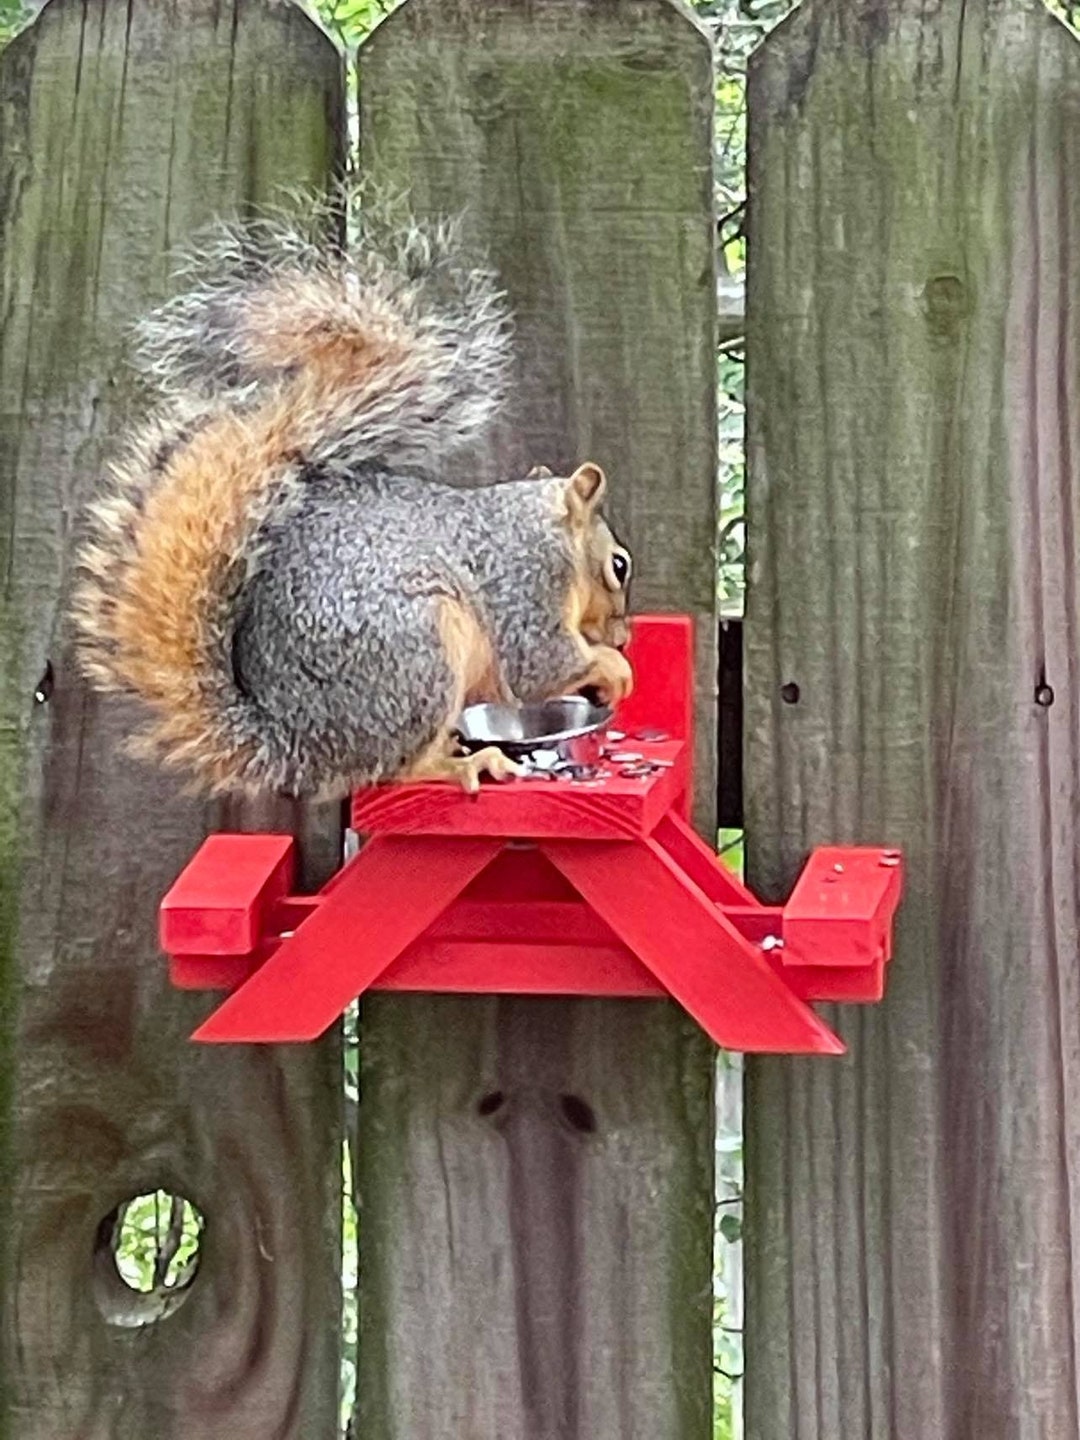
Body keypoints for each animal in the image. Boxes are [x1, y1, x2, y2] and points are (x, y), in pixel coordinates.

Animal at [71, 196, 634, 799]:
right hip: (419, 655)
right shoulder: (523, 585)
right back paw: (463, 763)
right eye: (618, 565)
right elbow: (540, 663)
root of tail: (297, 746)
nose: (625, 636)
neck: (541, 530)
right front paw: (612, 669)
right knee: (395, 767)